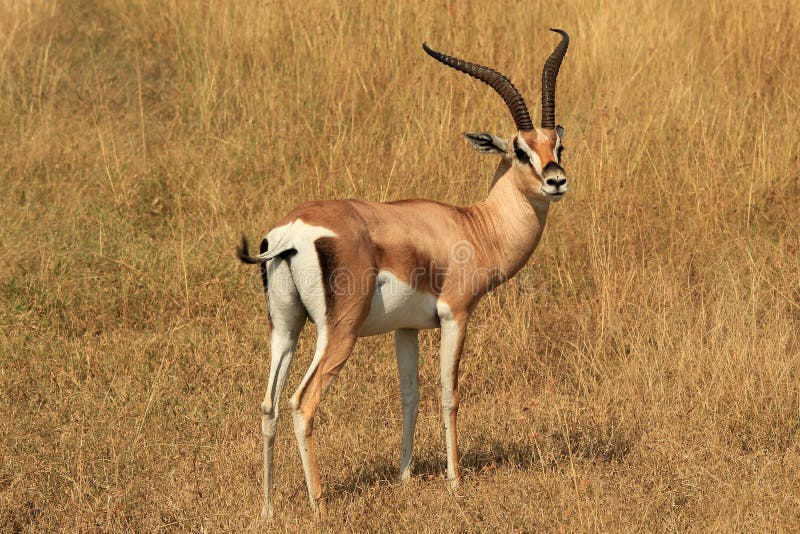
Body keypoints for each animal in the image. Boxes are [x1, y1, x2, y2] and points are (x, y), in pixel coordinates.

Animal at [238, 29, 570, 519]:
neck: (473, 226)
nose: (556, 180)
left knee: (269, 405)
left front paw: (404, 477)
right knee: (302, 402)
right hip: (338, 333)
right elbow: (449, 392)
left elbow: (409, 395)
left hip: (285, 327)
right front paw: (454, 483)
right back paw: (320, 506)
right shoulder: (455, 315)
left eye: (557, 145)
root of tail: (292, 231)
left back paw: (267, 509)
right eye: (519, 149)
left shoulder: (406, 329)